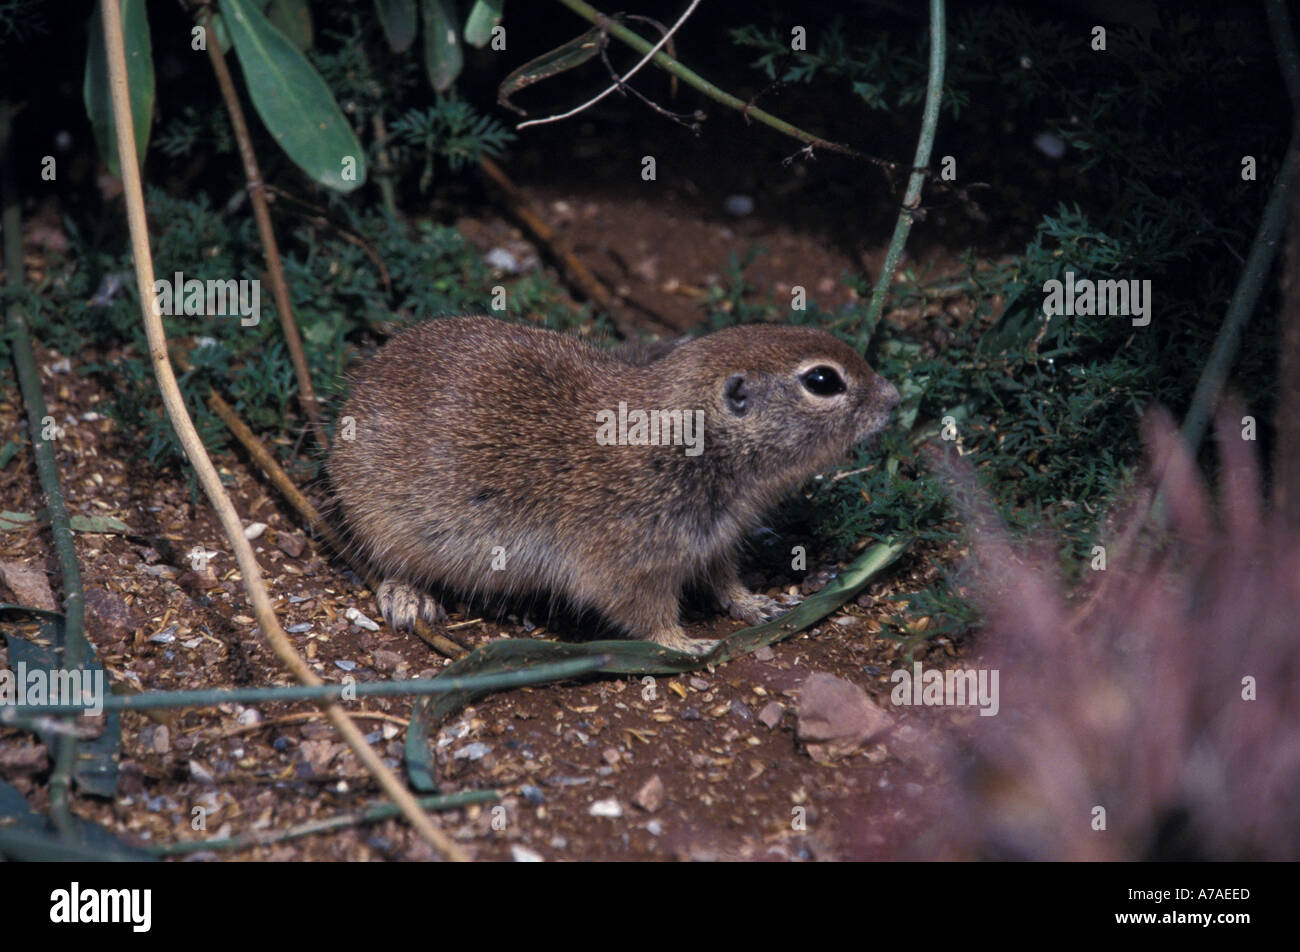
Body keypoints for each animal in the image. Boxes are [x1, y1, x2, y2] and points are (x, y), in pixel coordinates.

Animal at [328, 316, 899, 654]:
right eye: (823, 380)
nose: (894, 398)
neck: (696, 447)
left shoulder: (713, 545)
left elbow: (725, 582)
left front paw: (758, 605)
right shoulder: (627, 568)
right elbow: (646, 614)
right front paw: (684, 644)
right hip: (382, 525)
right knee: (384, 564)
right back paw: (409, 598)